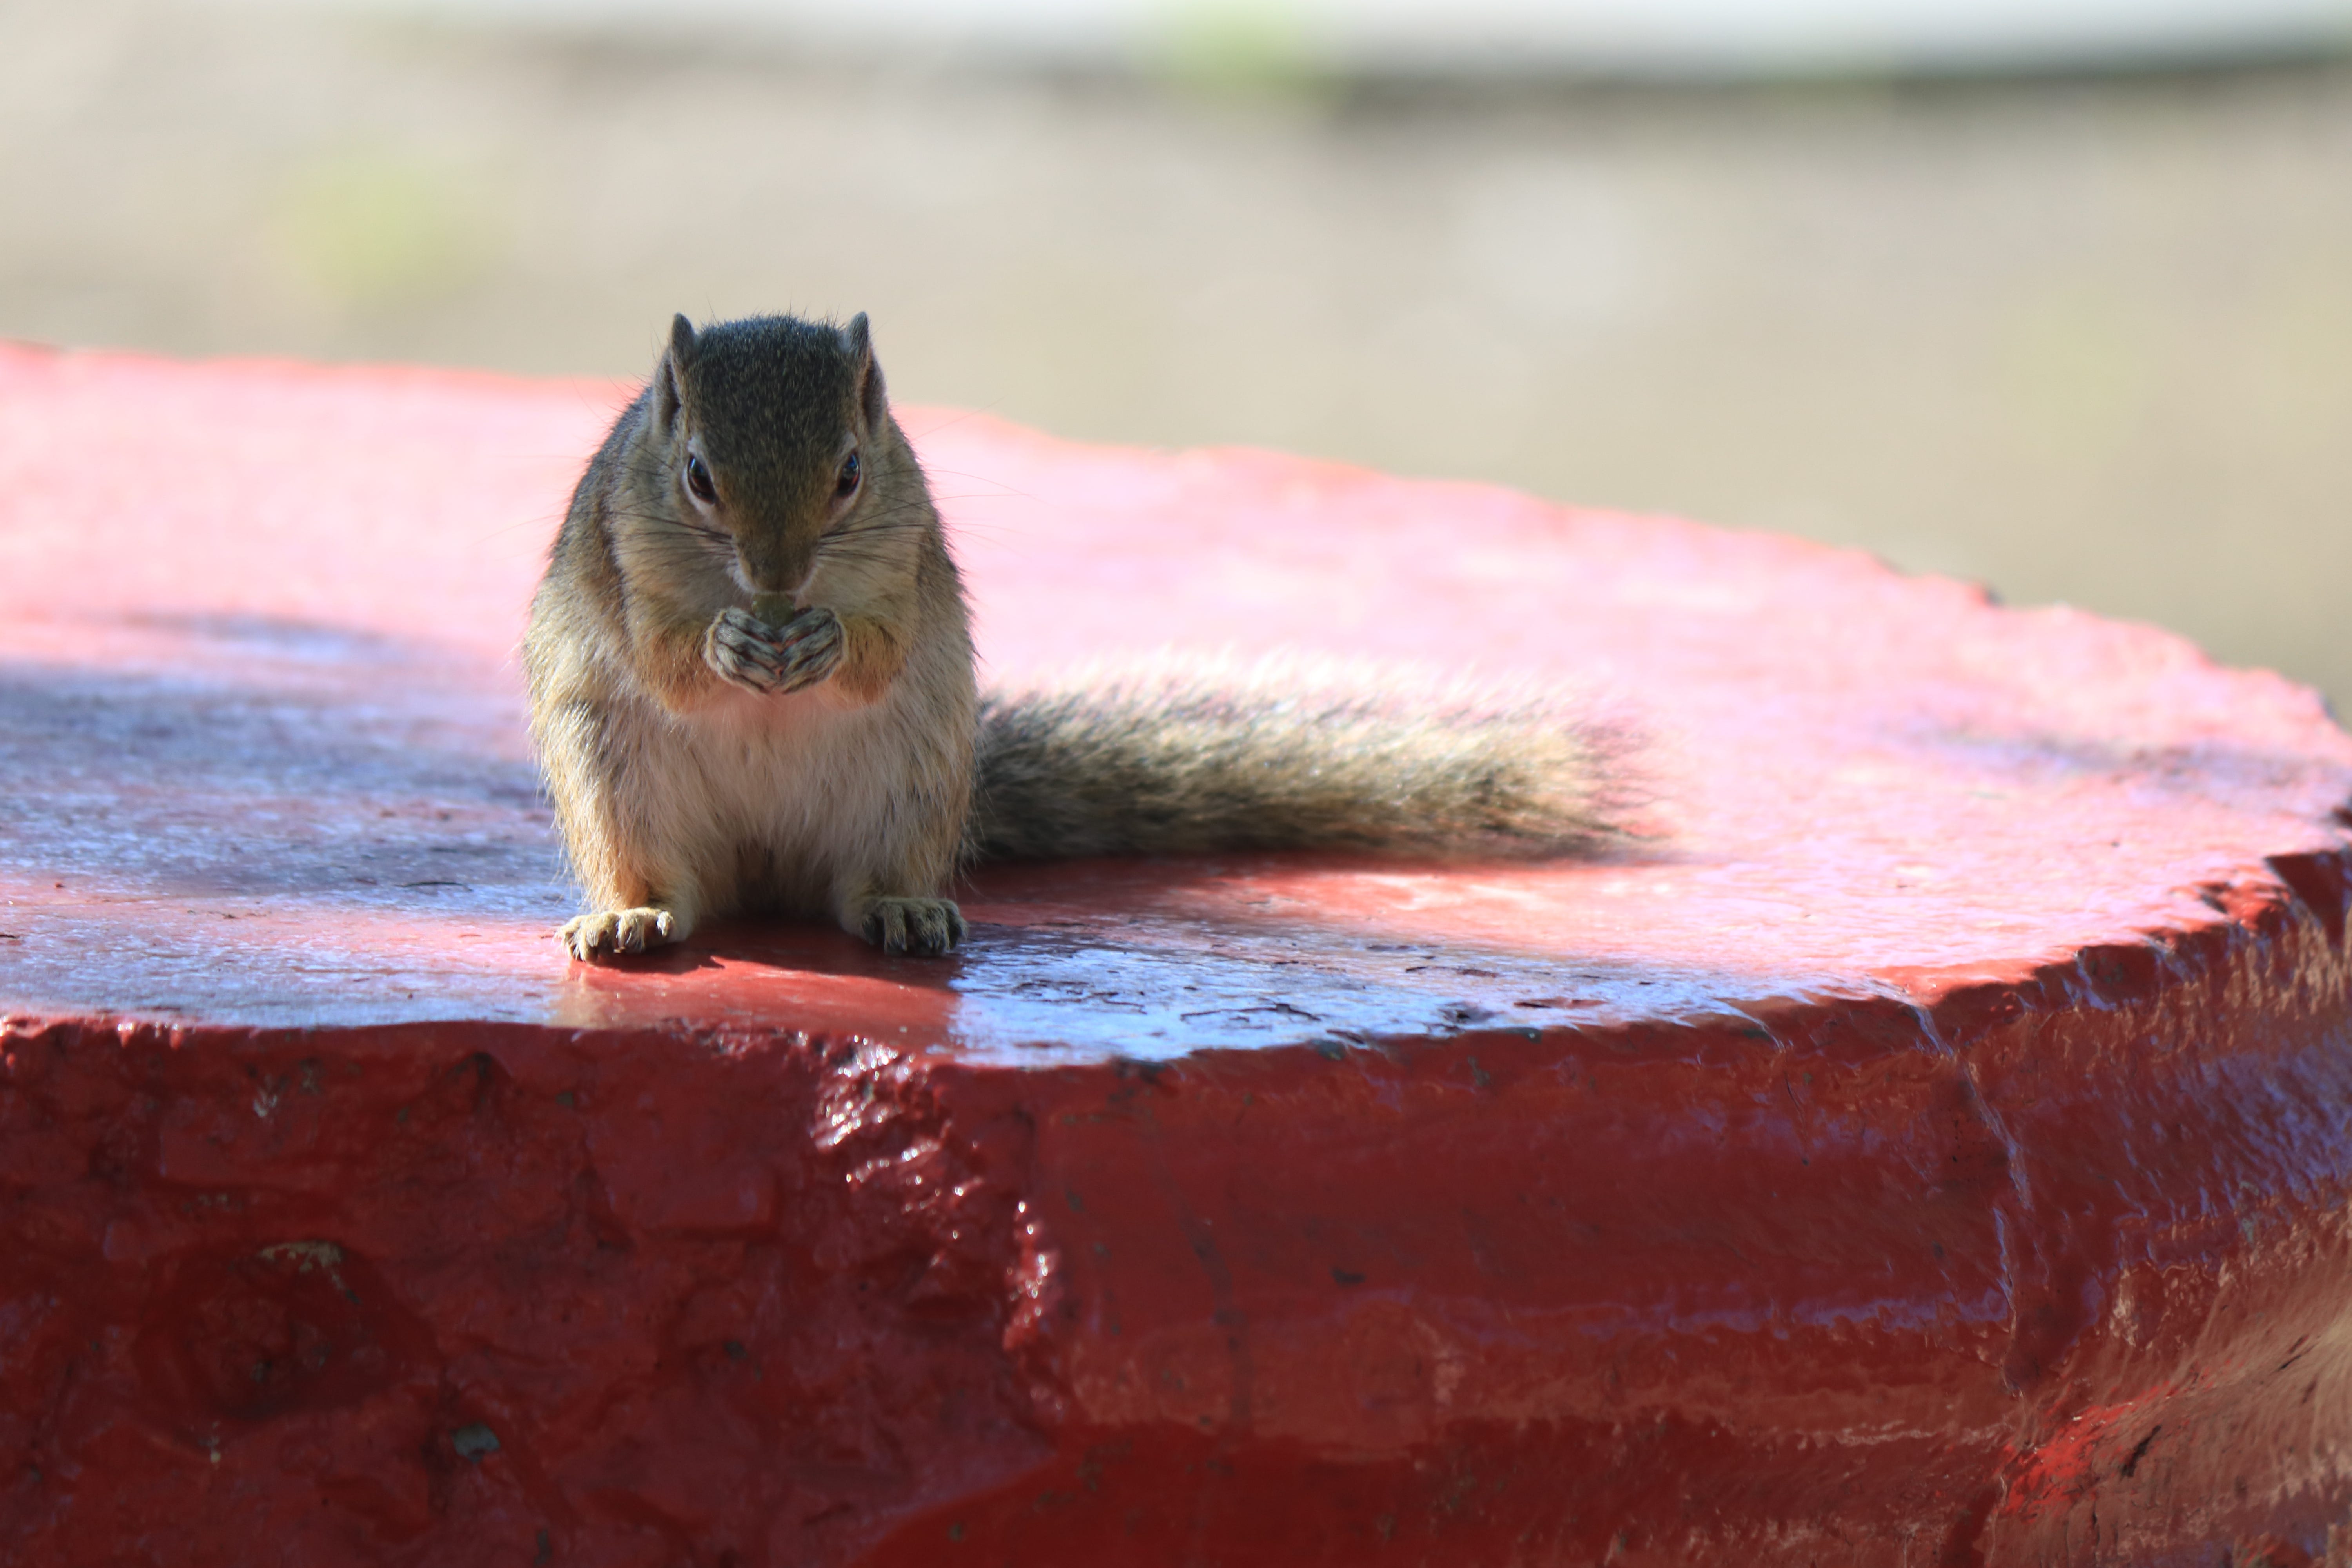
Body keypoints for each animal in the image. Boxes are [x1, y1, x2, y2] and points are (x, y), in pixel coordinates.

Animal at [524, 312, 1625, 962]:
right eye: (698, 475)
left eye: (850, 471)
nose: (779, 579)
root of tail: (760, 873)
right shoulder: (622, 567)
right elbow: (664, 659)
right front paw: (723, 648)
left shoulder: (907, 564)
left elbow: (881, 647)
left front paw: (828, 642)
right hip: (614, 783)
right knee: (669, 884)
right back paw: (633, 913)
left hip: (909, 791)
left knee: (857, 888)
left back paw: (901, 908)